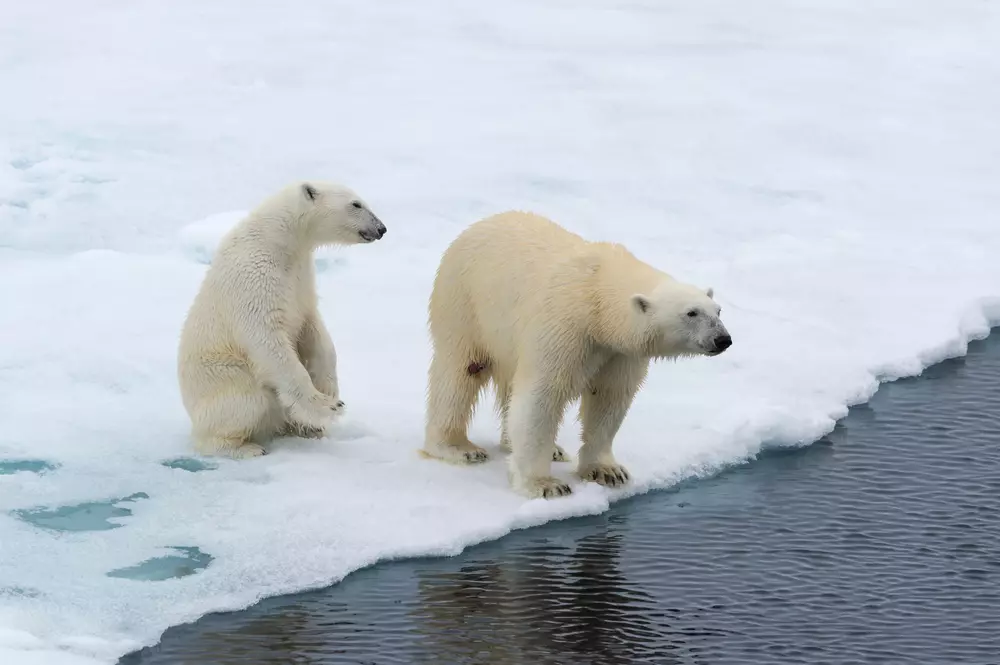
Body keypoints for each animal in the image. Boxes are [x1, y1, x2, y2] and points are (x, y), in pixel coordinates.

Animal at [178, 182, 384, 462]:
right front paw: (328, 406)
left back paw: (304, 429)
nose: (381, 228)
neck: (276, 238)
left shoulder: (302, 277)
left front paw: (330, 391)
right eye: (356, 204)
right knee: (249, 402)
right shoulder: (255, 278)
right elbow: (268, 340)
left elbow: (313, 328)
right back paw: (247, 447)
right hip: (226, 380)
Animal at [418, 213, 732, 498]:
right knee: (460, 372)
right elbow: (541, 397)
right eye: (691, 313)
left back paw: (546, 449)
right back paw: (458, 448)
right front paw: (545, 485)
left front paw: (608, 471)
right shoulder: (564, 326)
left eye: (718, 310)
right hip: (465, 304)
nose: (723, 339)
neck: (597, 294)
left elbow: (609, 398)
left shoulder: (619, 352)